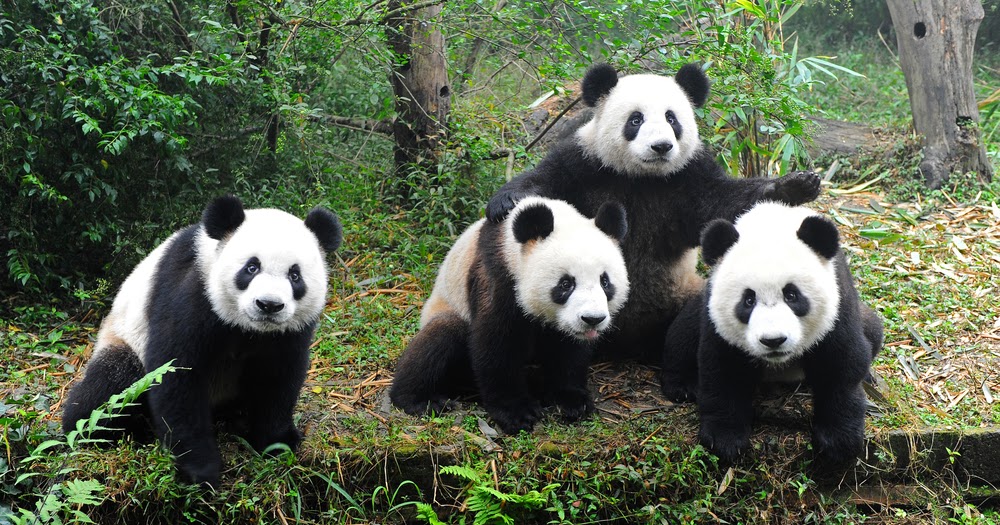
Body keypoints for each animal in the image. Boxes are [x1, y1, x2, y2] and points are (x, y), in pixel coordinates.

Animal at [62, 195, 343, 487]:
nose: (269, 305)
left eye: (295, 275)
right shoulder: (191, 292)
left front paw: (278, 443)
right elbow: (176, 375)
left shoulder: (289, 332)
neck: (249, 327)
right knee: (112, 385)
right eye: (251, 267)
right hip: (123, 337)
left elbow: (277, 378)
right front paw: (200, 470)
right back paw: (105, 430)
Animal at [390, 196, 629, 434]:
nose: (593, 319)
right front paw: (517, 413)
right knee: (441, 336)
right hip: (447, 309)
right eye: (566, 284)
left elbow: (569, 351)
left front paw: (572, 401)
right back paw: (419, 399)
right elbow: (497, 344)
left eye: (605, 281)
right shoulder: (498, 275)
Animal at [486, 63, 821, 362]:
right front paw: (505, 203)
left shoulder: (688, 177)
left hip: (682, 292)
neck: (642, 177)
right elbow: (546, 181)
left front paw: (795, 186)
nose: (661, 146)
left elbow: (724, 203)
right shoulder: (584, 164)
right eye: (636, 119)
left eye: (672, 119)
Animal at [660, 201, 883, 464]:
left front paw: (839, 443)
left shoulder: (838, 305)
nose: (773, 340)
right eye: (748, 300)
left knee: (873, 331)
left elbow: (841, 365)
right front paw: (724, 439)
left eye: (791, 295)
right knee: (683, 334)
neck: (771, 224)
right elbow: (722, 369)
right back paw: (682, 386)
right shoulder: (716, 320)